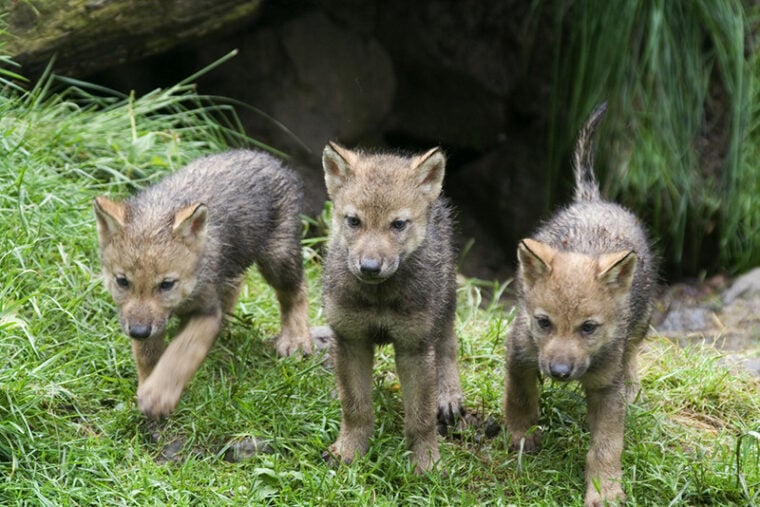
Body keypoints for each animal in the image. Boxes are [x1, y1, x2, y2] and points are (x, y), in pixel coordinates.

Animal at [93, 149, 312, 419]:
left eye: (166, 284)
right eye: (122, 281)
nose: (138, 332)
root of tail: (268, 157)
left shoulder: (206, 312)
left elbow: (180, 354)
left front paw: (158, 395)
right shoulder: (146, 320)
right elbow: (148, 358)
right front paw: (146, 388)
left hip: (278, 260)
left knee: (297, 291)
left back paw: (296, 340)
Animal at [320, 142, 465, 473]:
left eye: (398, 224)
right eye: (354, 221)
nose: (370, 267)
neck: (379, 298)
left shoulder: (414, 347)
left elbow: (421, 418)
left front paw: (427, 464)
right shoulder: (350, 339)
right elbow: (355, 407)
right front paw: (349, 451)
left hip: (446, 302)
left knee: (448, 346)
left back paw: (449, 395)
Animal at [504, 104, 656, 506]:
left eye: (588, 328)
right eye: (544, 322)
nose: (559, 371)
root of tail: (593, 201)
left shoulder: (606, 389)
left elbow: (606, 447)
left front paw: (605, 491)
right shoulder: (519, 352)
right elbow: (520, 399)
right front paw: (521, 436)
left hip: (642, 322)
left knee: (633, 353)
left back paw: (634, 387)